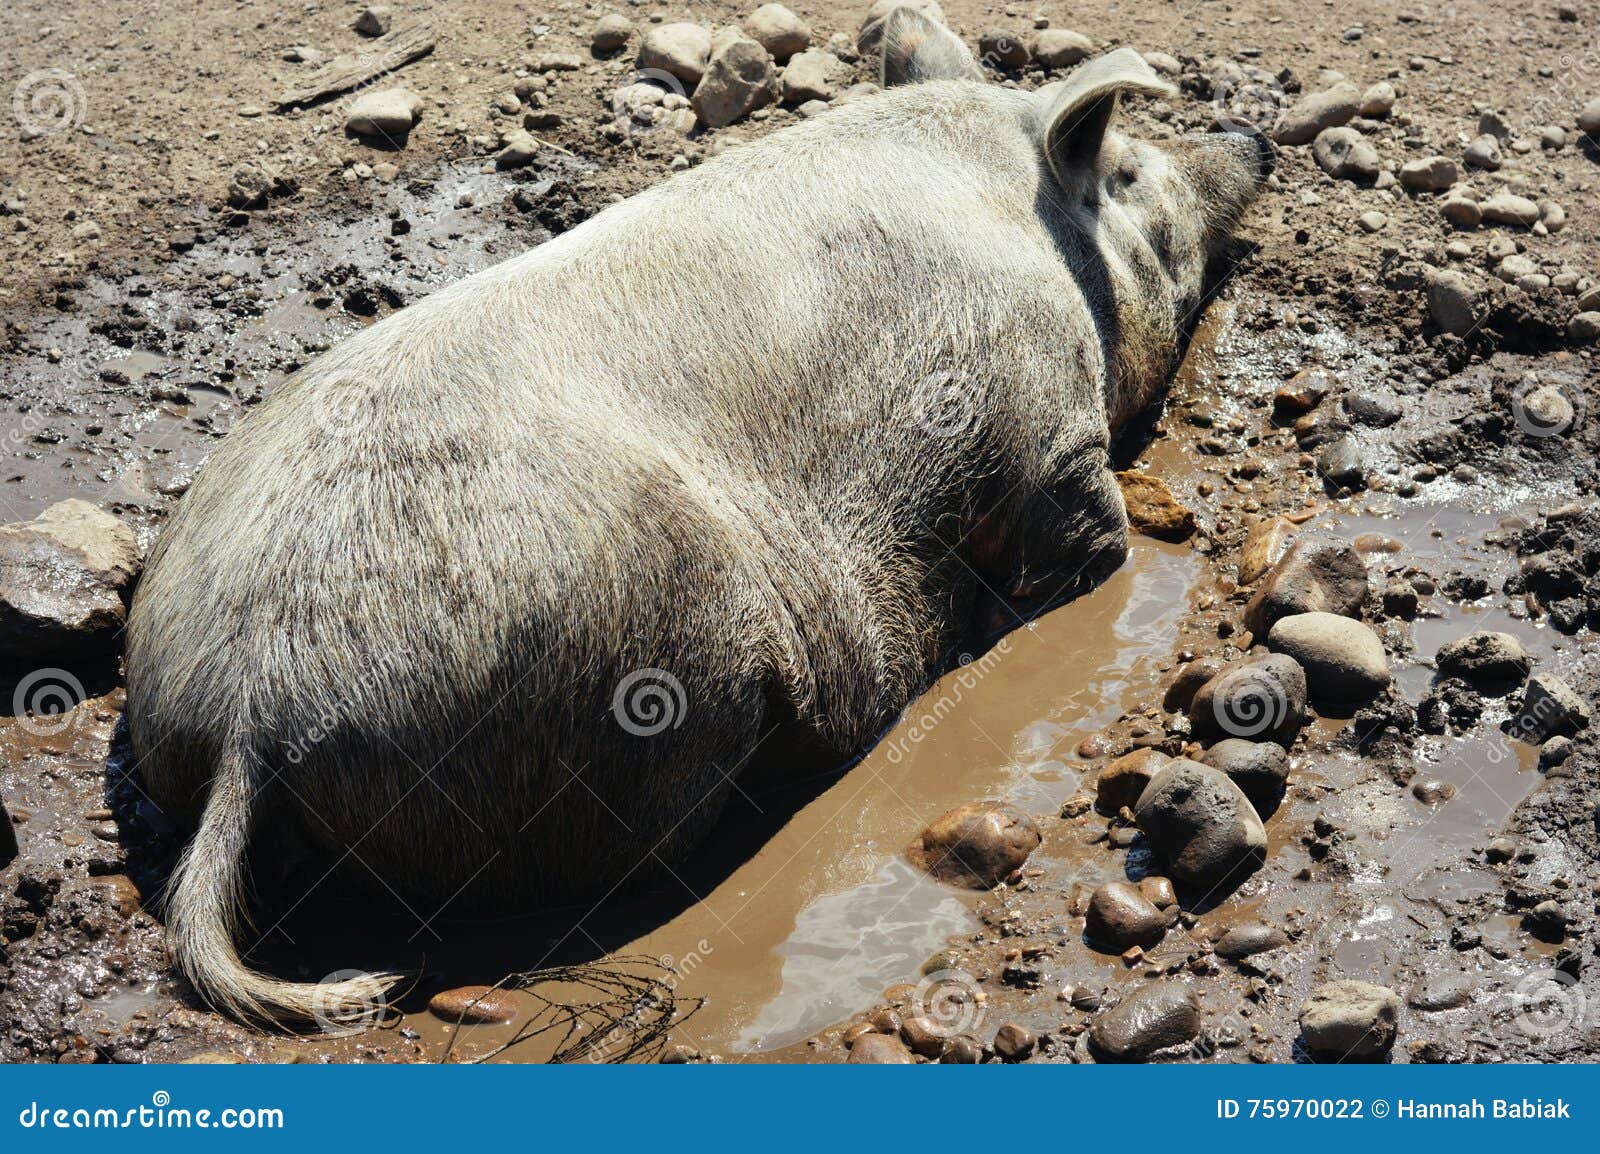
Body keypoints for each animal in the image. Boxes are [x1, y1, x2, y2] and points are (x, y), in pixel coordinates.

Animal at [124, 5, 1271, 1025]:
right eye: (1130, 173)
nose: (1251, 138)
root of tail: (251, 717)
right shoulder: (1045, 440)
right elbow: (1087, 539)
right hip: (647, 671)